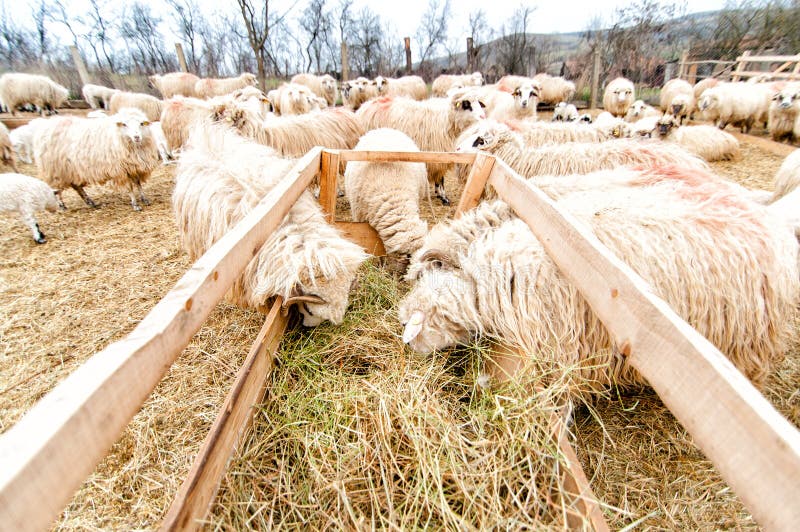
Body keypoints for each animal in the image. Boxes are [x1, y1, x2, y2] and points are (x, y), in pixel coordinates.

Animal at [356, 88, 488, 205]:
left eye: (479, 103)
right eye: (466, 104)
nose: (483, 117)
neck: (447, 120)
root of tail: (368, 104)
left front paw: (439, 193)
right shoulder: (436, 153)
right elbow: (440, 178)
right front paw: (444, 197)